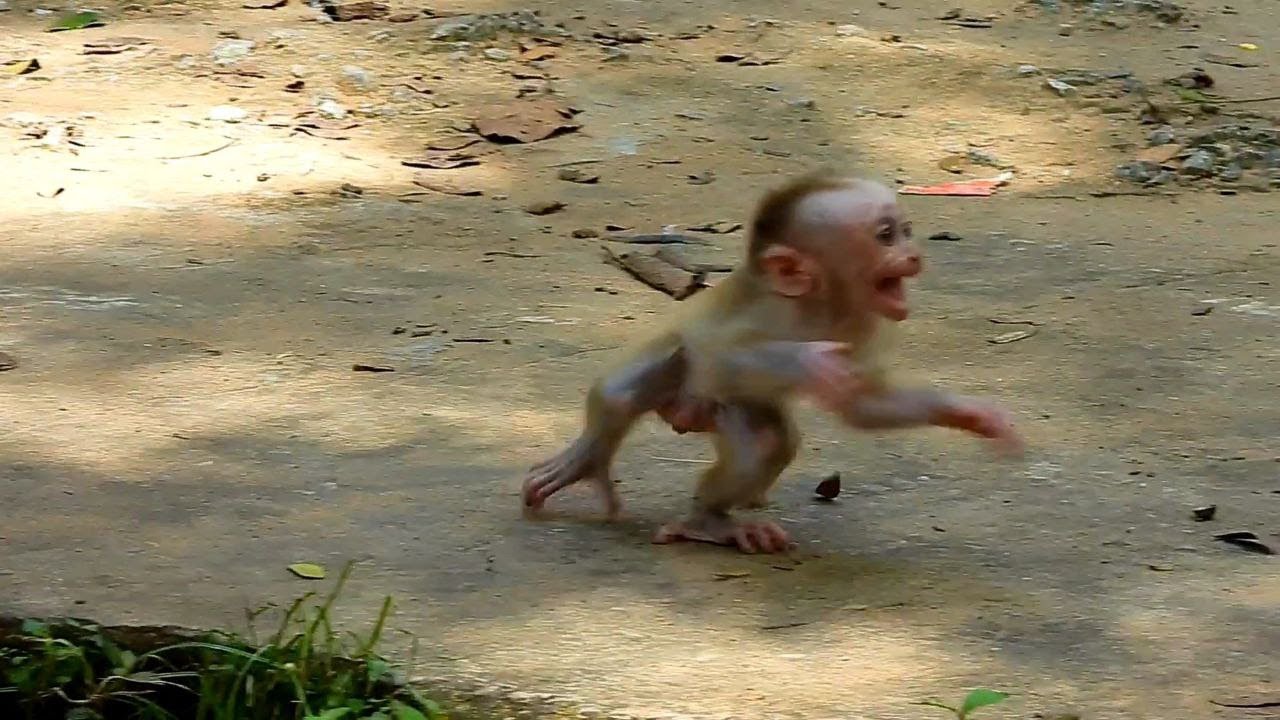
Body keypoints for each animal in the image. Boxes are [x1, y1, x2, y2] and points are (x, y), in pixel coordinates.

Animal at [522, 173, 1022, 554]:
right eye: (885, 236)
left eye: (907, 229)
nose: (913, 255)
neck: (824, 301)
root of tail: (683, 415)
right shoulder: (766, 309)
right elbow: (714, 352)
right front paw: (808, 360)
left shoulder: (865, 325)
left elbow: (863, 406)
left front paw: (975, 416)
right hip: (678, 376)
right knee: (632, 390)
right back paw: (595, 464)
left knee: (768, 442)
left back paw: (712, 518)